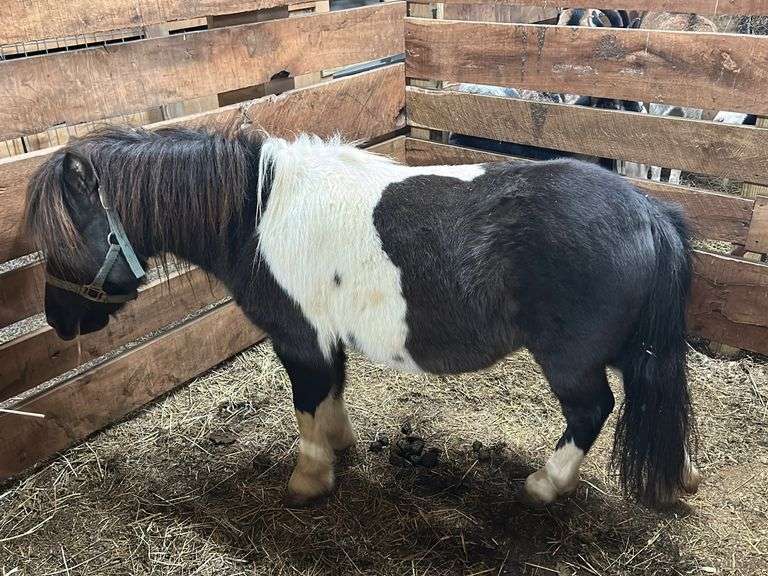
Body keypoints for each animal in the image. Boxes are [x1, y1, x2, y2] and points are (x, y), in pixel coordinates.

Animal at [25, 125, 701, 508]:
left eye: (62, 237)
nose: (59, 322)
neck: (256, 214)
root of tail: (649, 212)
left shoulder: (296, 337)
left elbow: (306, 398)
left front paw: (309, 478)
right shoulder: (323, 335)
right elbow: (333, 391)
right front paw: (340, 446)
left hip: (570, 360)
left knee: (593, 411)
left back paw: (544, 486)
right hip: (629, 347)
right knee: (654, 394)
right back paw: (680, 477)